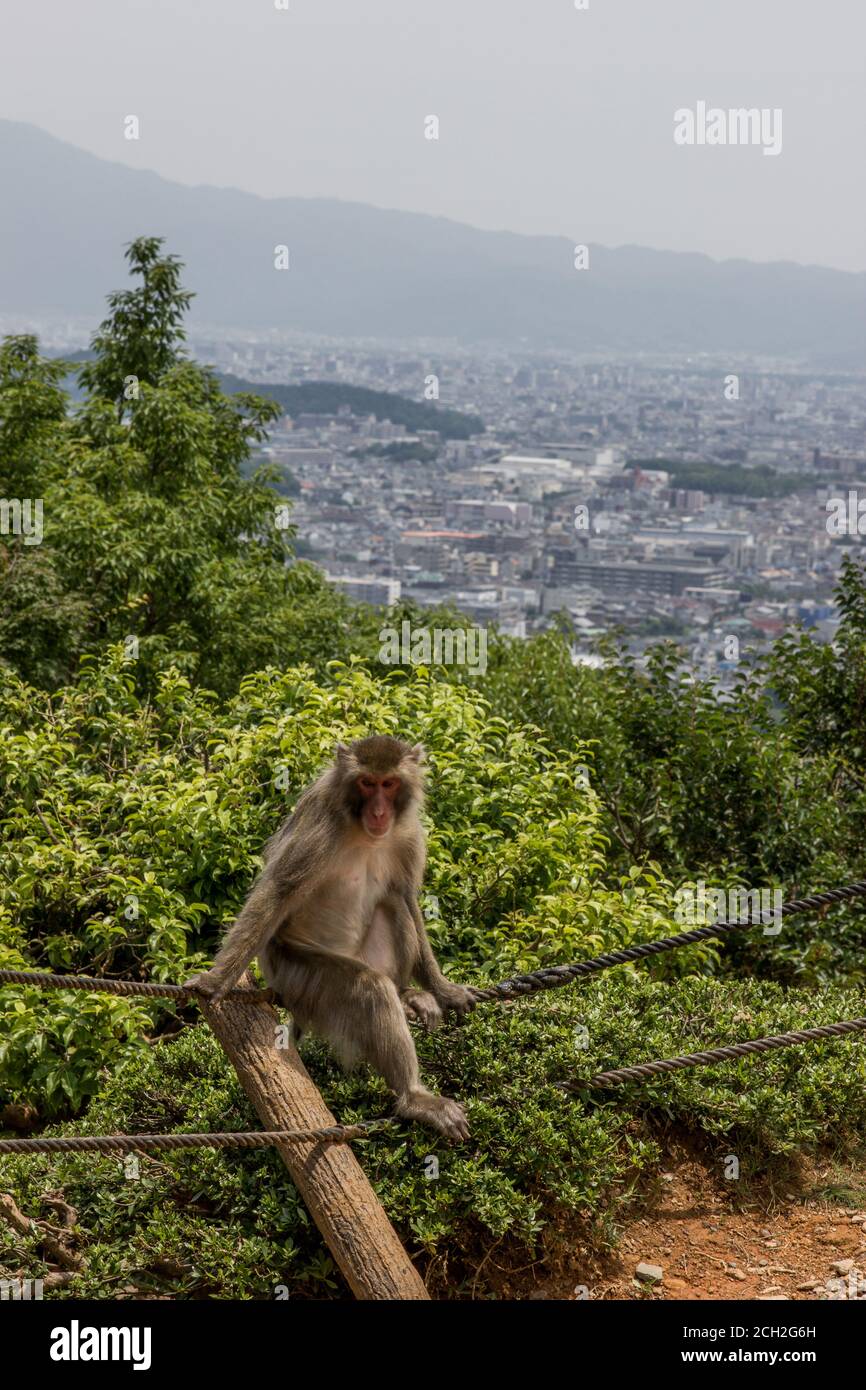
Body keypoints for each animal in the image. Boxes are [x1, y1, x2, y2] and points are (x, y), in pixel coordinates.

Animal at [185, 735, 475, 1139]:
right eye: (367, 783)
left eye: (389, 784)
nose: (379, 812)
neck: (361, 831)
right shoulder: (320, 825)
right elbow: (279, 890)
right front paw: (215, 981)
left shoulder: (408, 835)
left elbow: (406, 897)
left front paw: (444, 989)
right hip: (301, 978)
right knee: (369, 988)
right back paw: (413, 1097)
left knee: (393, 907)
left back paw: (406, 995)